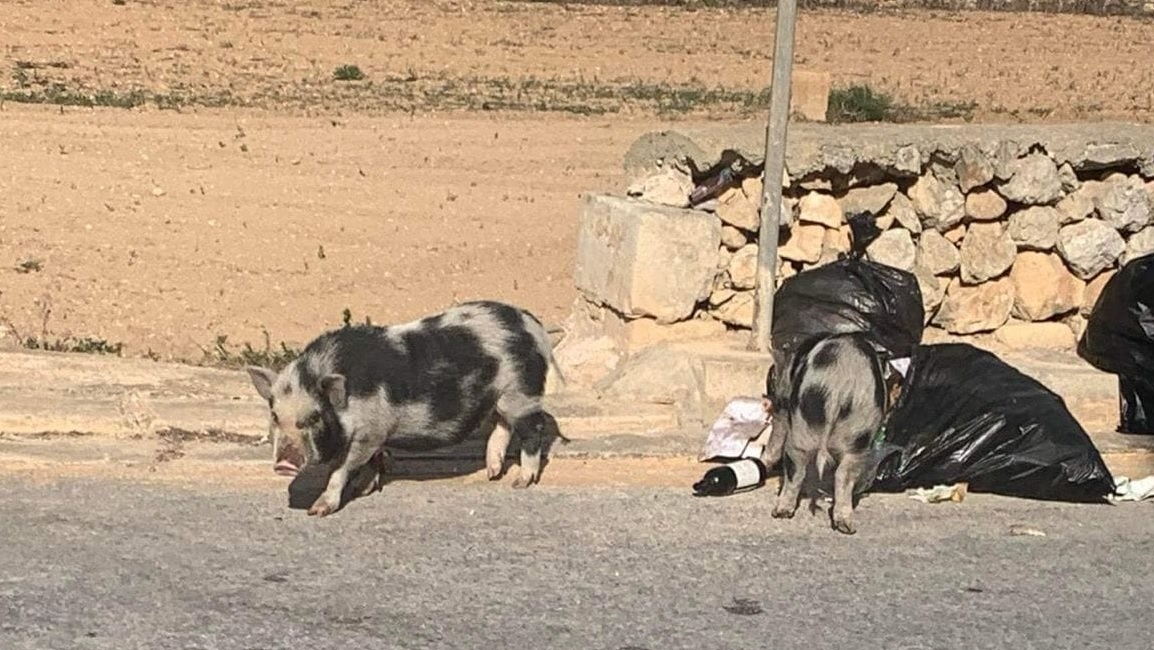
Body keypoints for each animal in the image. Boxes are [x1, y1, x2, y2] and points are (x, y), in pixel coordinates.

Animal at [245, 300, 564, 517]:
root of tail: (531, 324)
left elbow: (341, 468)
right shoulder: (373, 436)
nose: (284, 464)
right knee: (503, 424)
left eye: (314, 417)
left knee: (532, 429)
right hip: (504, 397)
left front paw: (318, 510)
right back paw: (492, 472)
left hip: (521, 392)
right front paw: (366, 488)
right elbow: (372, 461)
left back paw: (520, 482)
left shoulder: (367, 433)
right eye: (275, 416)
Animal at [764, 332, 886, 535]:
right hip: (859, 432)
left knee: (796, 470)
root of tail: (839, 385)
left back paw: (779, 512)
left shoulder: (783, 404)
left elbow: (778, 429)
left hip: (800, 429)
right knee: (844, 475)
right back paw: (846, 526)